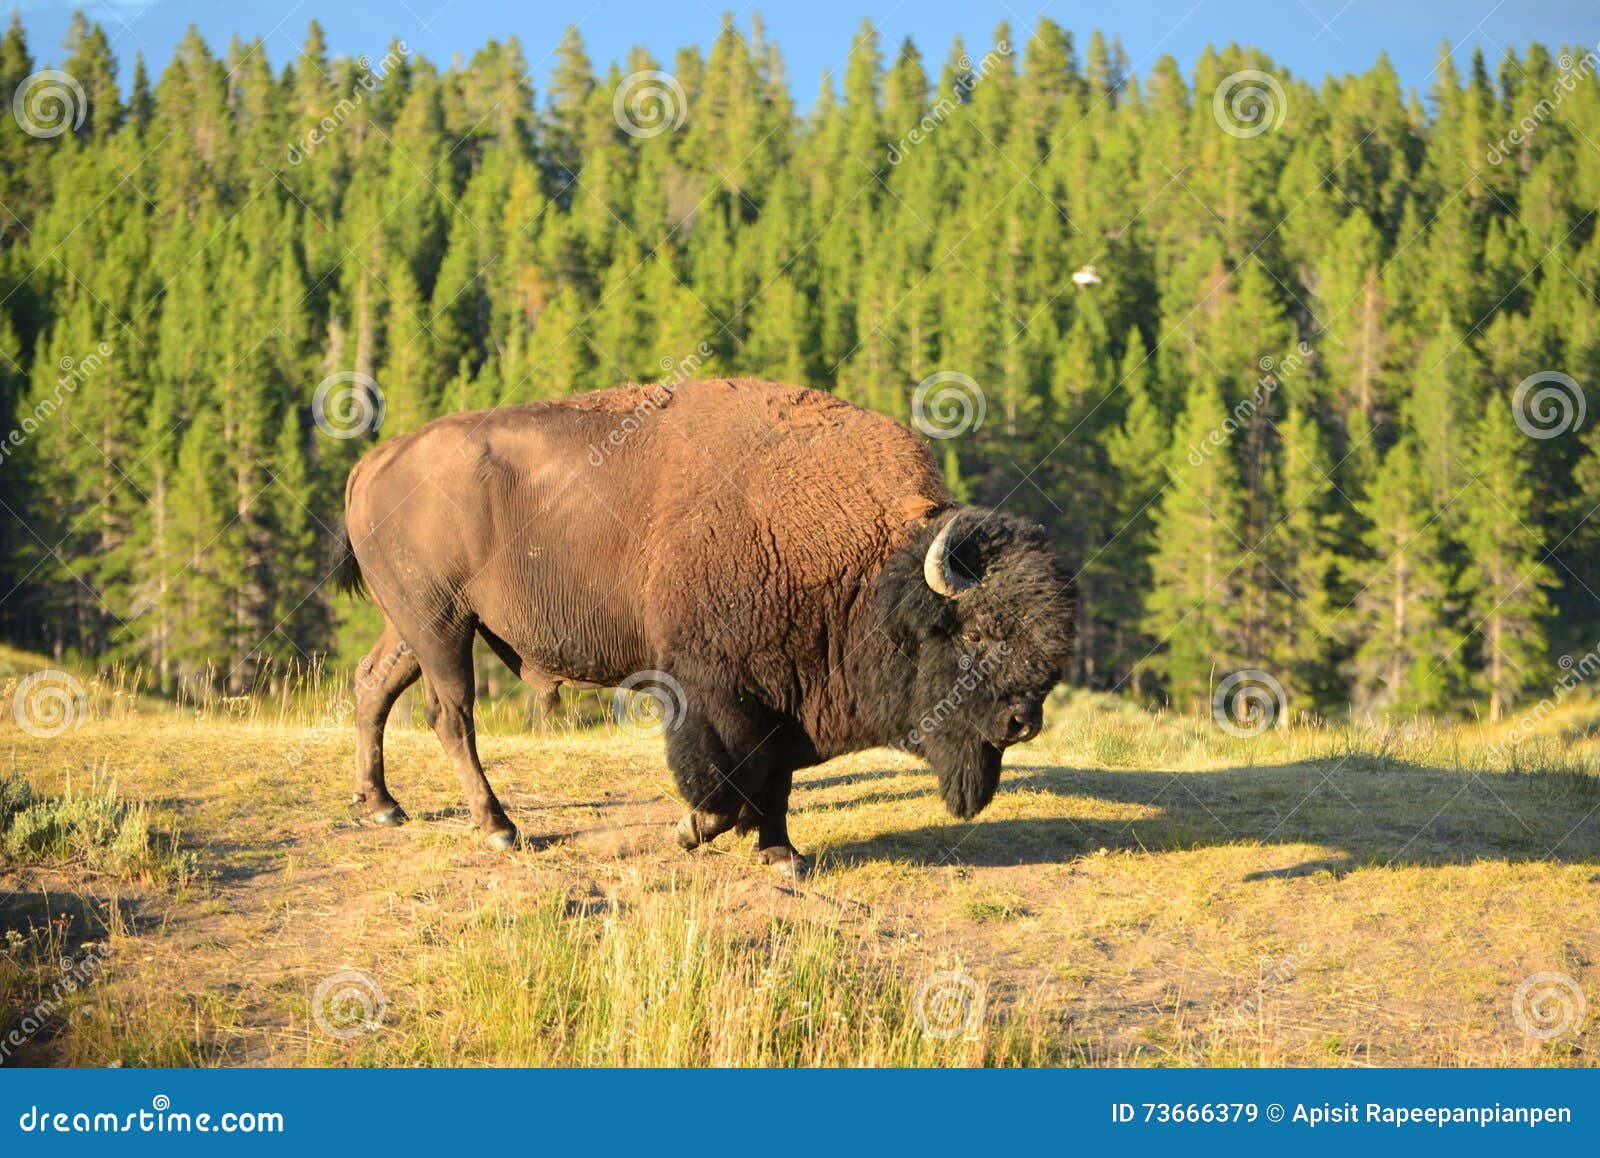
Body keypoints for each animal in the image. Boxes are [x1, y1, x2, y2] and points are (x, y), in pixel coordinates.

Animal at [335, 379, 1076, 875]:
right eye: (974, 634)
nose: (1022, 721)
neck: (863, 562)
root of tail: (377, 459)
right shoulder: (715, 694)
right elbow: (730, 782)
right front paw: (690, 830)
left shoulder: (785, 698)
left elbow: (775, 781)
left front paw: (783, 854)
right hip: (441, 623)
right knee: (451, 714)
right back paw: (496, 827)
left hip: (413, 626)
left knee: (373, 684)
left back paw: (382, 805)